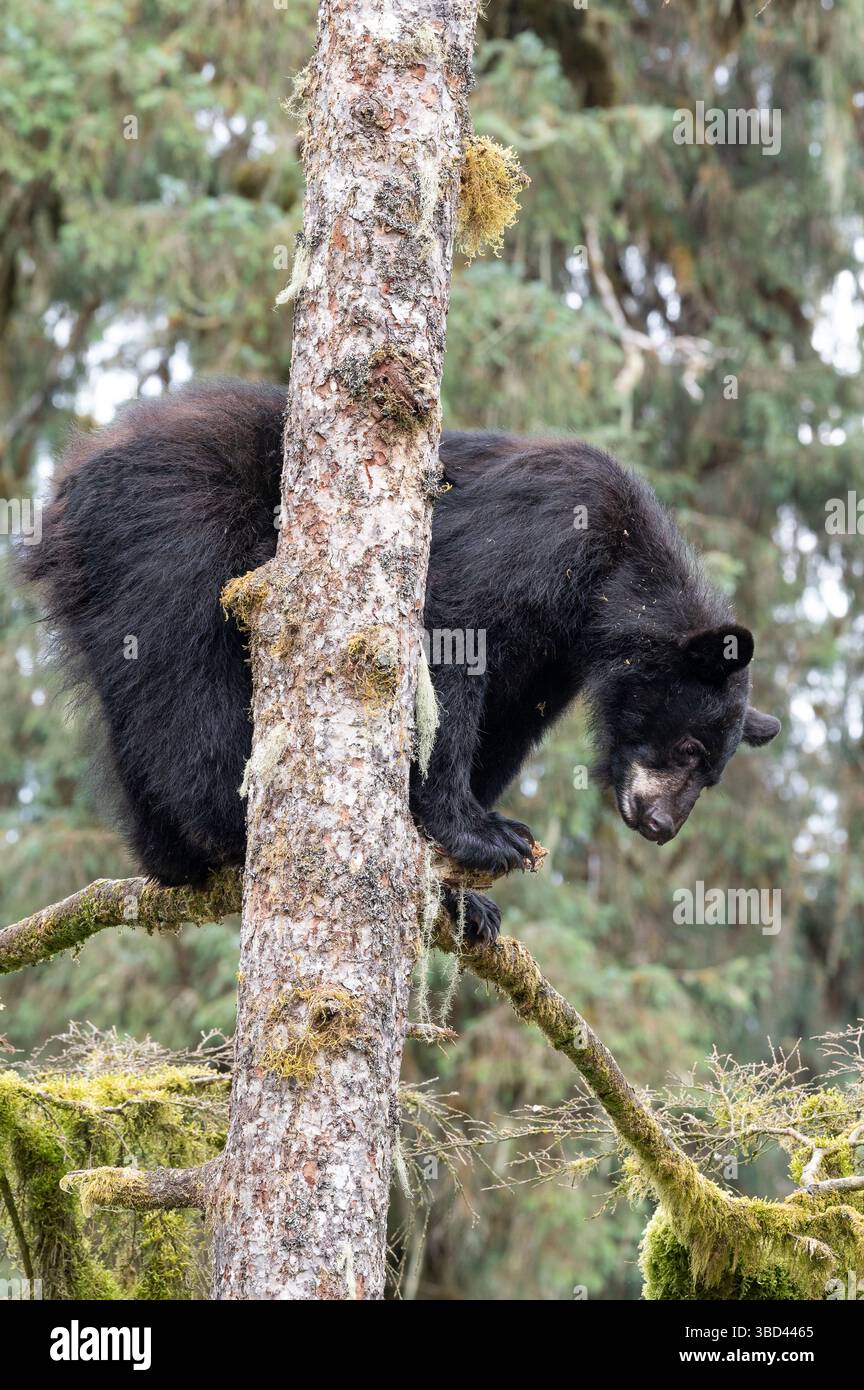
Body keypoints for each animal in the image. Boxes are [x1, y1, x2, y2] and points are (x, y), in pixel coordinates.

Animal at [20, 380, 780, 943]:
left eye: (709, 775)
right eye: (687, 750)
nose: (660, 827)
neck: (612, 576)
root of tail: (68, 476)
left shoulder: (554, 656)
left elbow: (508, 719)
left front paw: (467, 896)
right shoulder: (534, 537)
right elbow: (450, 643)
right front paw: (480, 834)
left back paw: (171, 857)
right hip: (172, 525)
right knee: (183, 669)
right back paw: (227, 821)